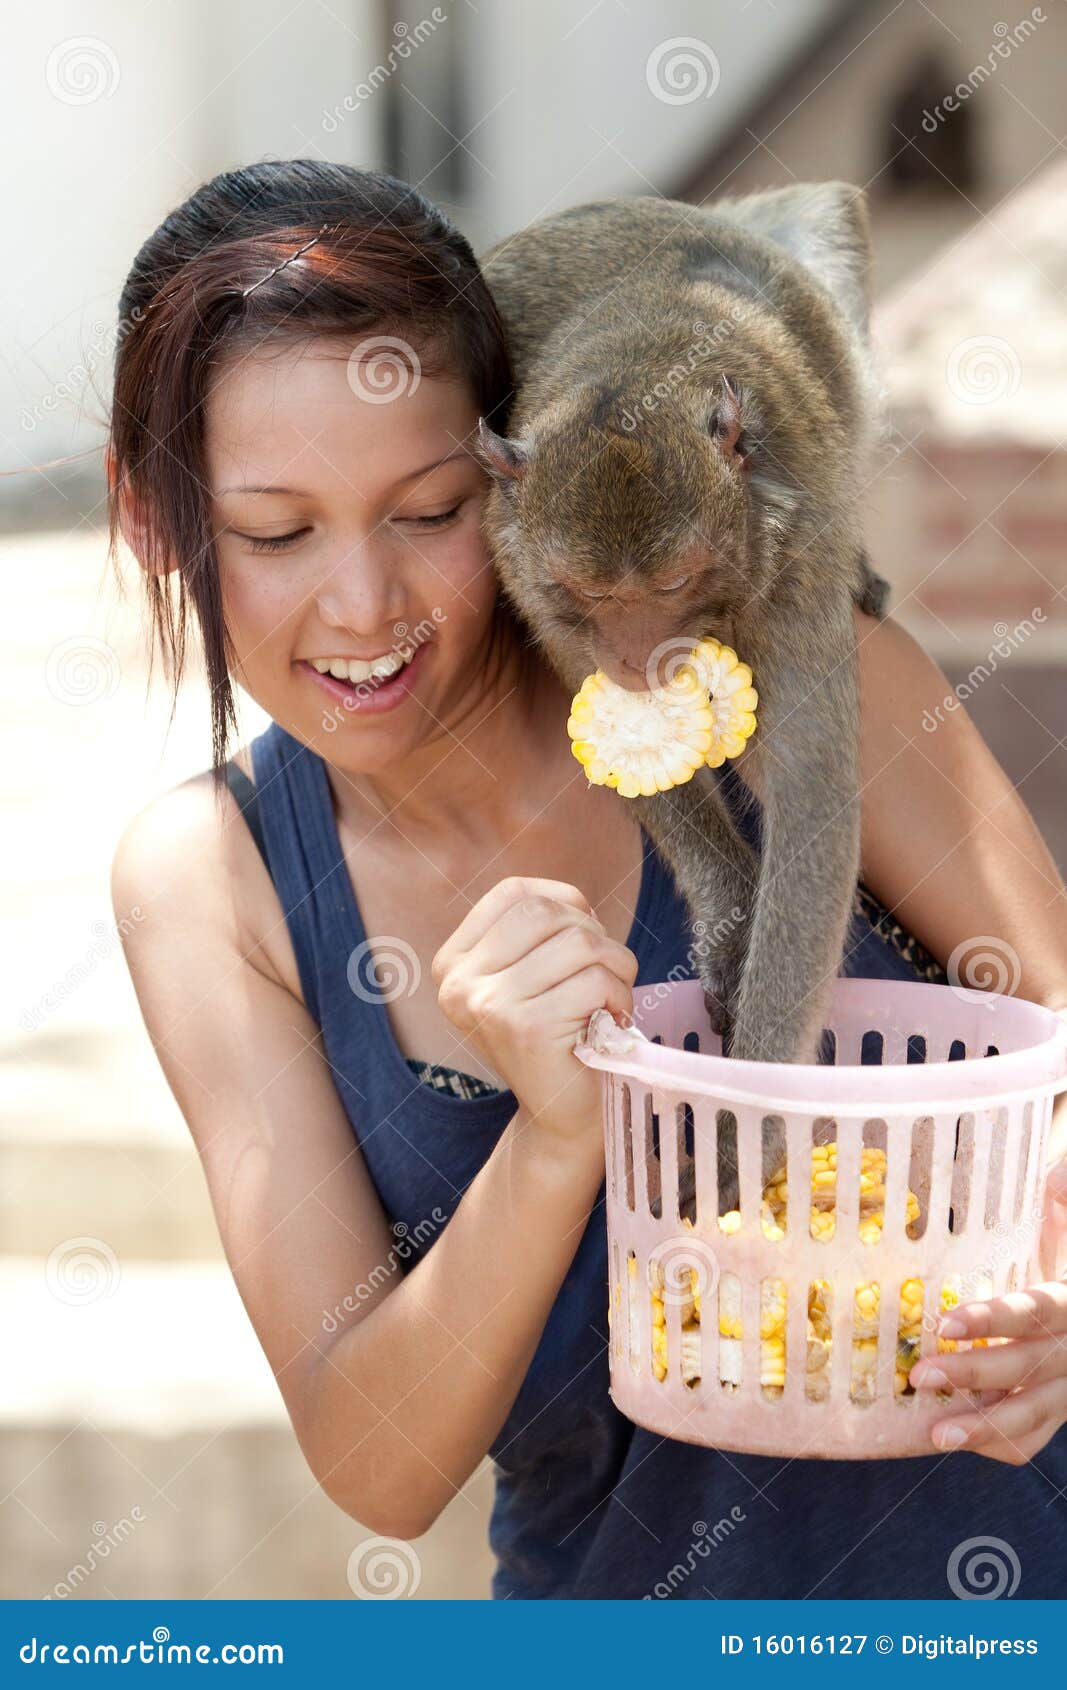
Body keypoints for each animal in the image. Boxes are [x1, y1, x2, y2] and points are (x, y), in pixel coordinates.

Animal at [474, 182, 891, 1220]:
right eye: (588, 594)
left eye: (671, 583)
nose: (635, 657)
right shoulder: (521, 573)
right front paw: (731, 914)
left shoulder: (796, 561)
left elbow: (813, 796)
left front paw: (748, 1131)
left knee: (822, 215)